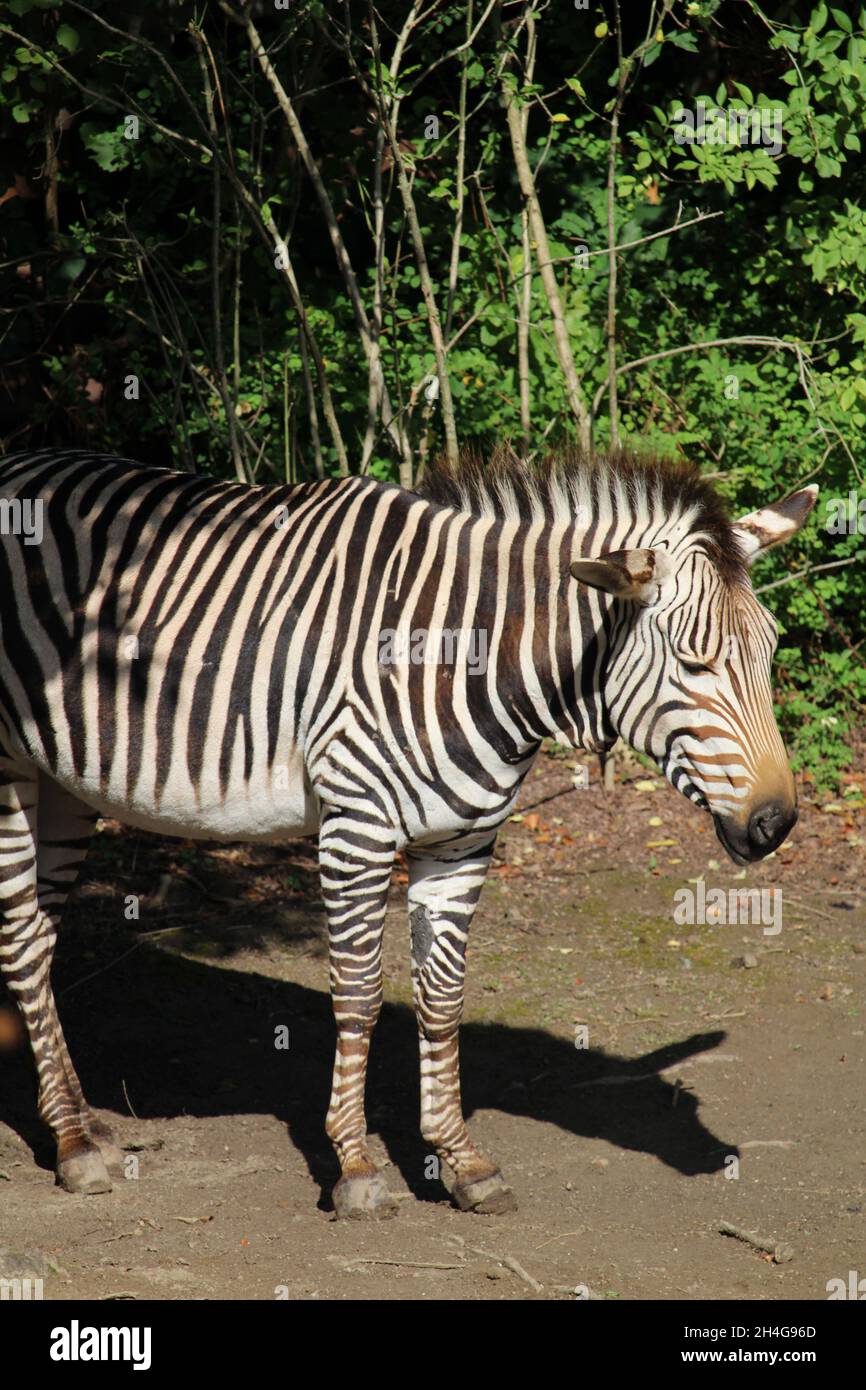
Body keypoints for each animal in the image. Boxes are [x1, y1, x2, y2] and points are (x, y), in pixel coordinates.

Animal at [0, 446, 815, 1218]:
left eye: (771, 651)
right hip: (9, 768)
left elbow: (444, 997)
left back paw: (85, 1125)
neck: (468, 658)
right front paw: (357, 1166)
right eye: (695, 663)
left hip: (63, 780)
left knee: (40, 937)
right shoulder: (355, 829)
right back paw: (71, 1145)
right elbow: (359, 994)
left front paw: (461, 1160)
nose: (776, 824)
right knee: (20, 942)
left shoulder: (461, 843)